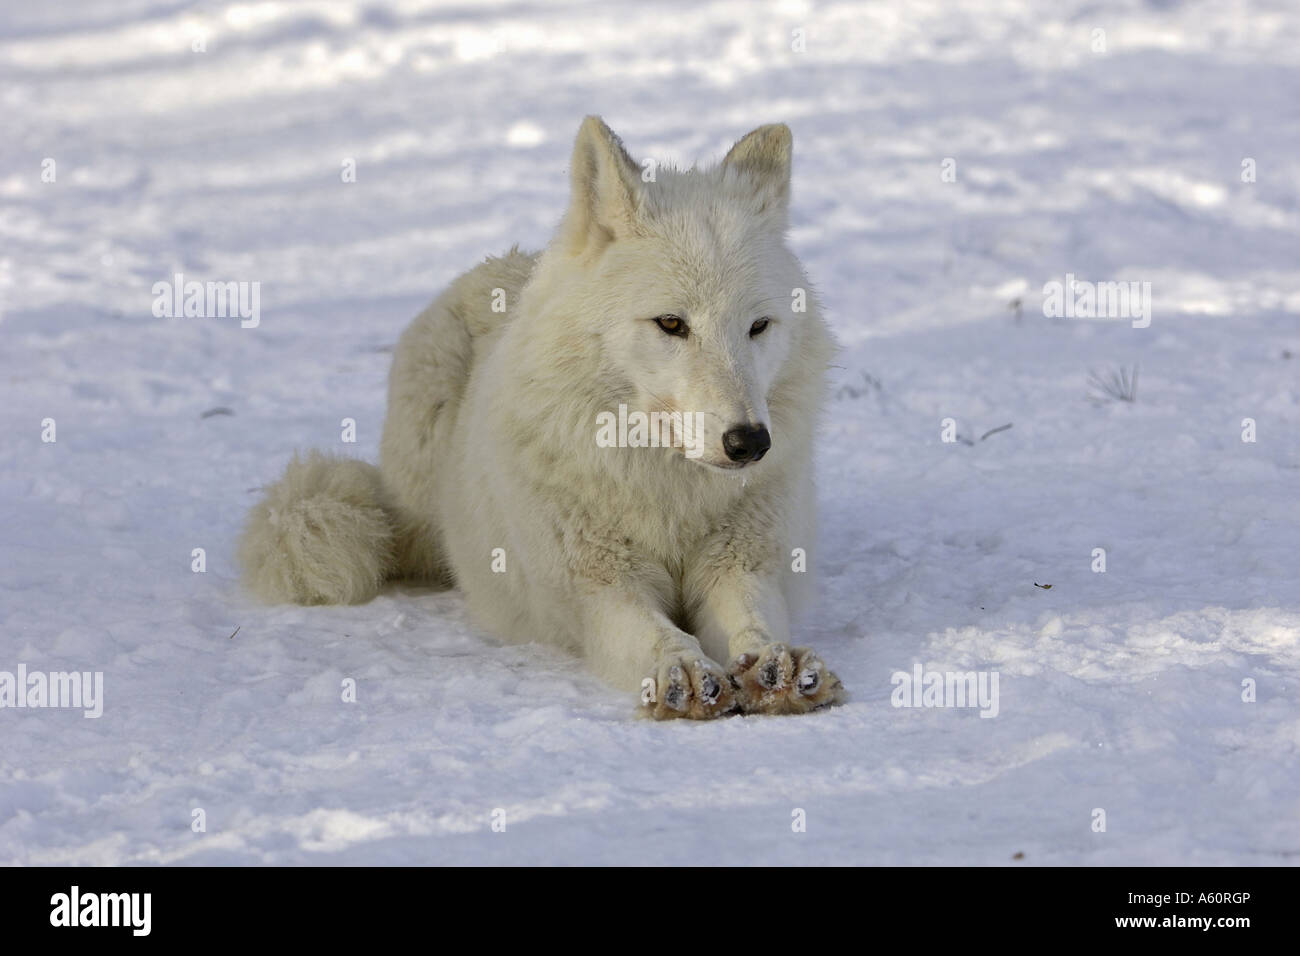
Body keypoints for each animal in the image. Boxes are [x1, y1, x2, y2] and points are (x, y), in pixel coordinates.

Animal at [239, 117, 845, 719]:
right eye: (672, 324)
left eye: (758, 326)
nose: (749, 443)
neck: (665, 493)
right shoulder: (599, 592)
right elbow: (655, 634)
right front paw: (684, 673)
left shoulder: (742, 567)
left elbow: (752, 619)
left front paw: (774, 666)